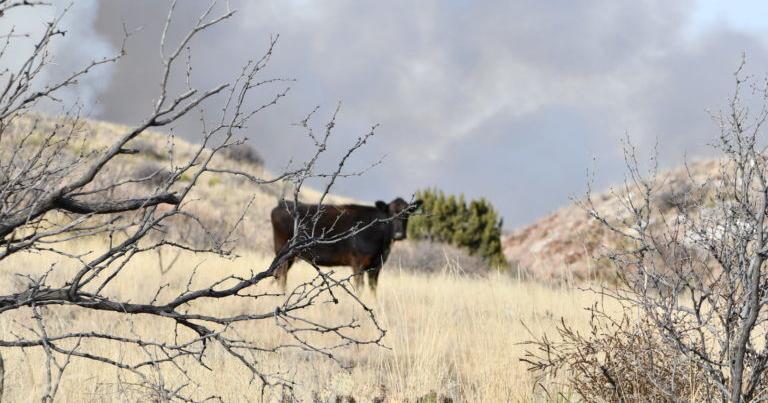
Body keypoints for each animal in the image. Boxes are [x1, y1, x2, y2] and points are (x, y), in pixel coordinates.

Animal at [270, 197, 422, 294]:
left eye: (408, 213)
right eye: (391, 213)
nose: (399, 234)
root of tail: (281, 204)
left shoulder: (376, 265)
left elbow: (373, 288)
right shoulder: (358, 262)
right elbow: (360, 287)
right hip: (282, 252)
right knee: (282, 276)